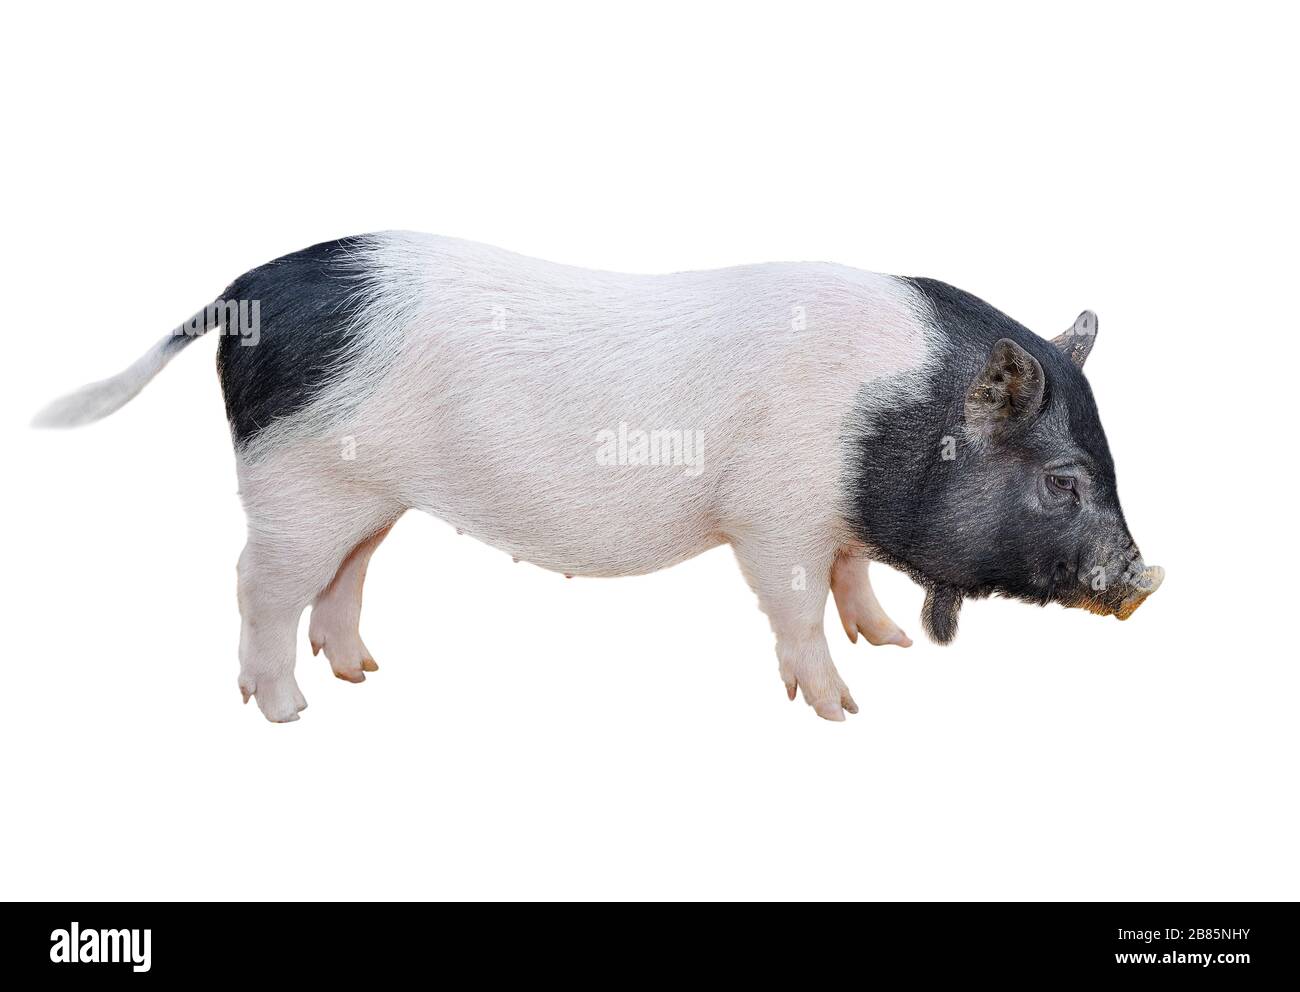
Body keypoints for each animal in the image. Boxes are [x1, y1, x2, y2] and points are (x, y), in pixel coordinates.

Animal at [35, 233, 1163, 722]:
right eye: (1064, 480)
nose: (1143, 580)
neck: (895, 420)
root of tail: (242, 288)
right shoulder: (774, 516)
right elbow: (797, 602)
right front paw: (845, 709)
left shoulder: (832, 519)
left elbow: (851, 577)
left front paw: (887, 643)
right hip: (291, 486)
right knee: (255, 584)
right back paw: (288, 711)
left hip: (365, 496)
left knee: (342, 578)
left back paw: (364, 674)